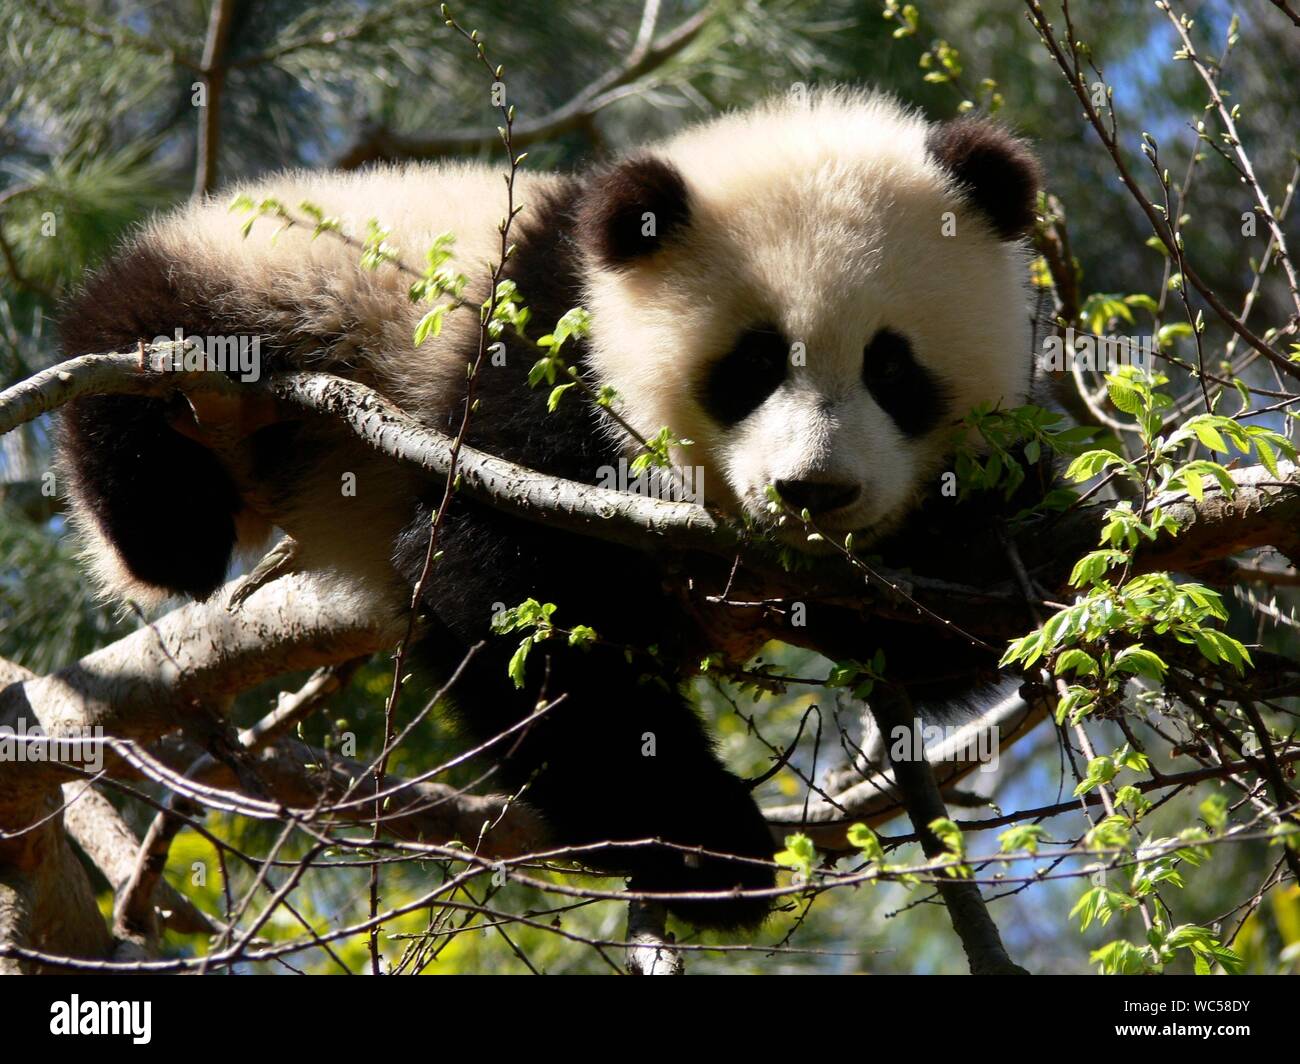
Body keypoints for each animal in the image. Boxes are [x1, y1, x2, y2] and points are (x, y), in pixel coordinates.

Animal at [56, 88, 1040, 931]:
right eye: (753, 366)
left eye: (892, 367)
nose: (815, 491)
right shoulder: (541, 362)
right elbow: (508, 583)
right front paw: (704, 848)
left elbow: (943, 631)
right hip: (242, 297)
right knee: (133, 368)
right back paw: (172, 529)